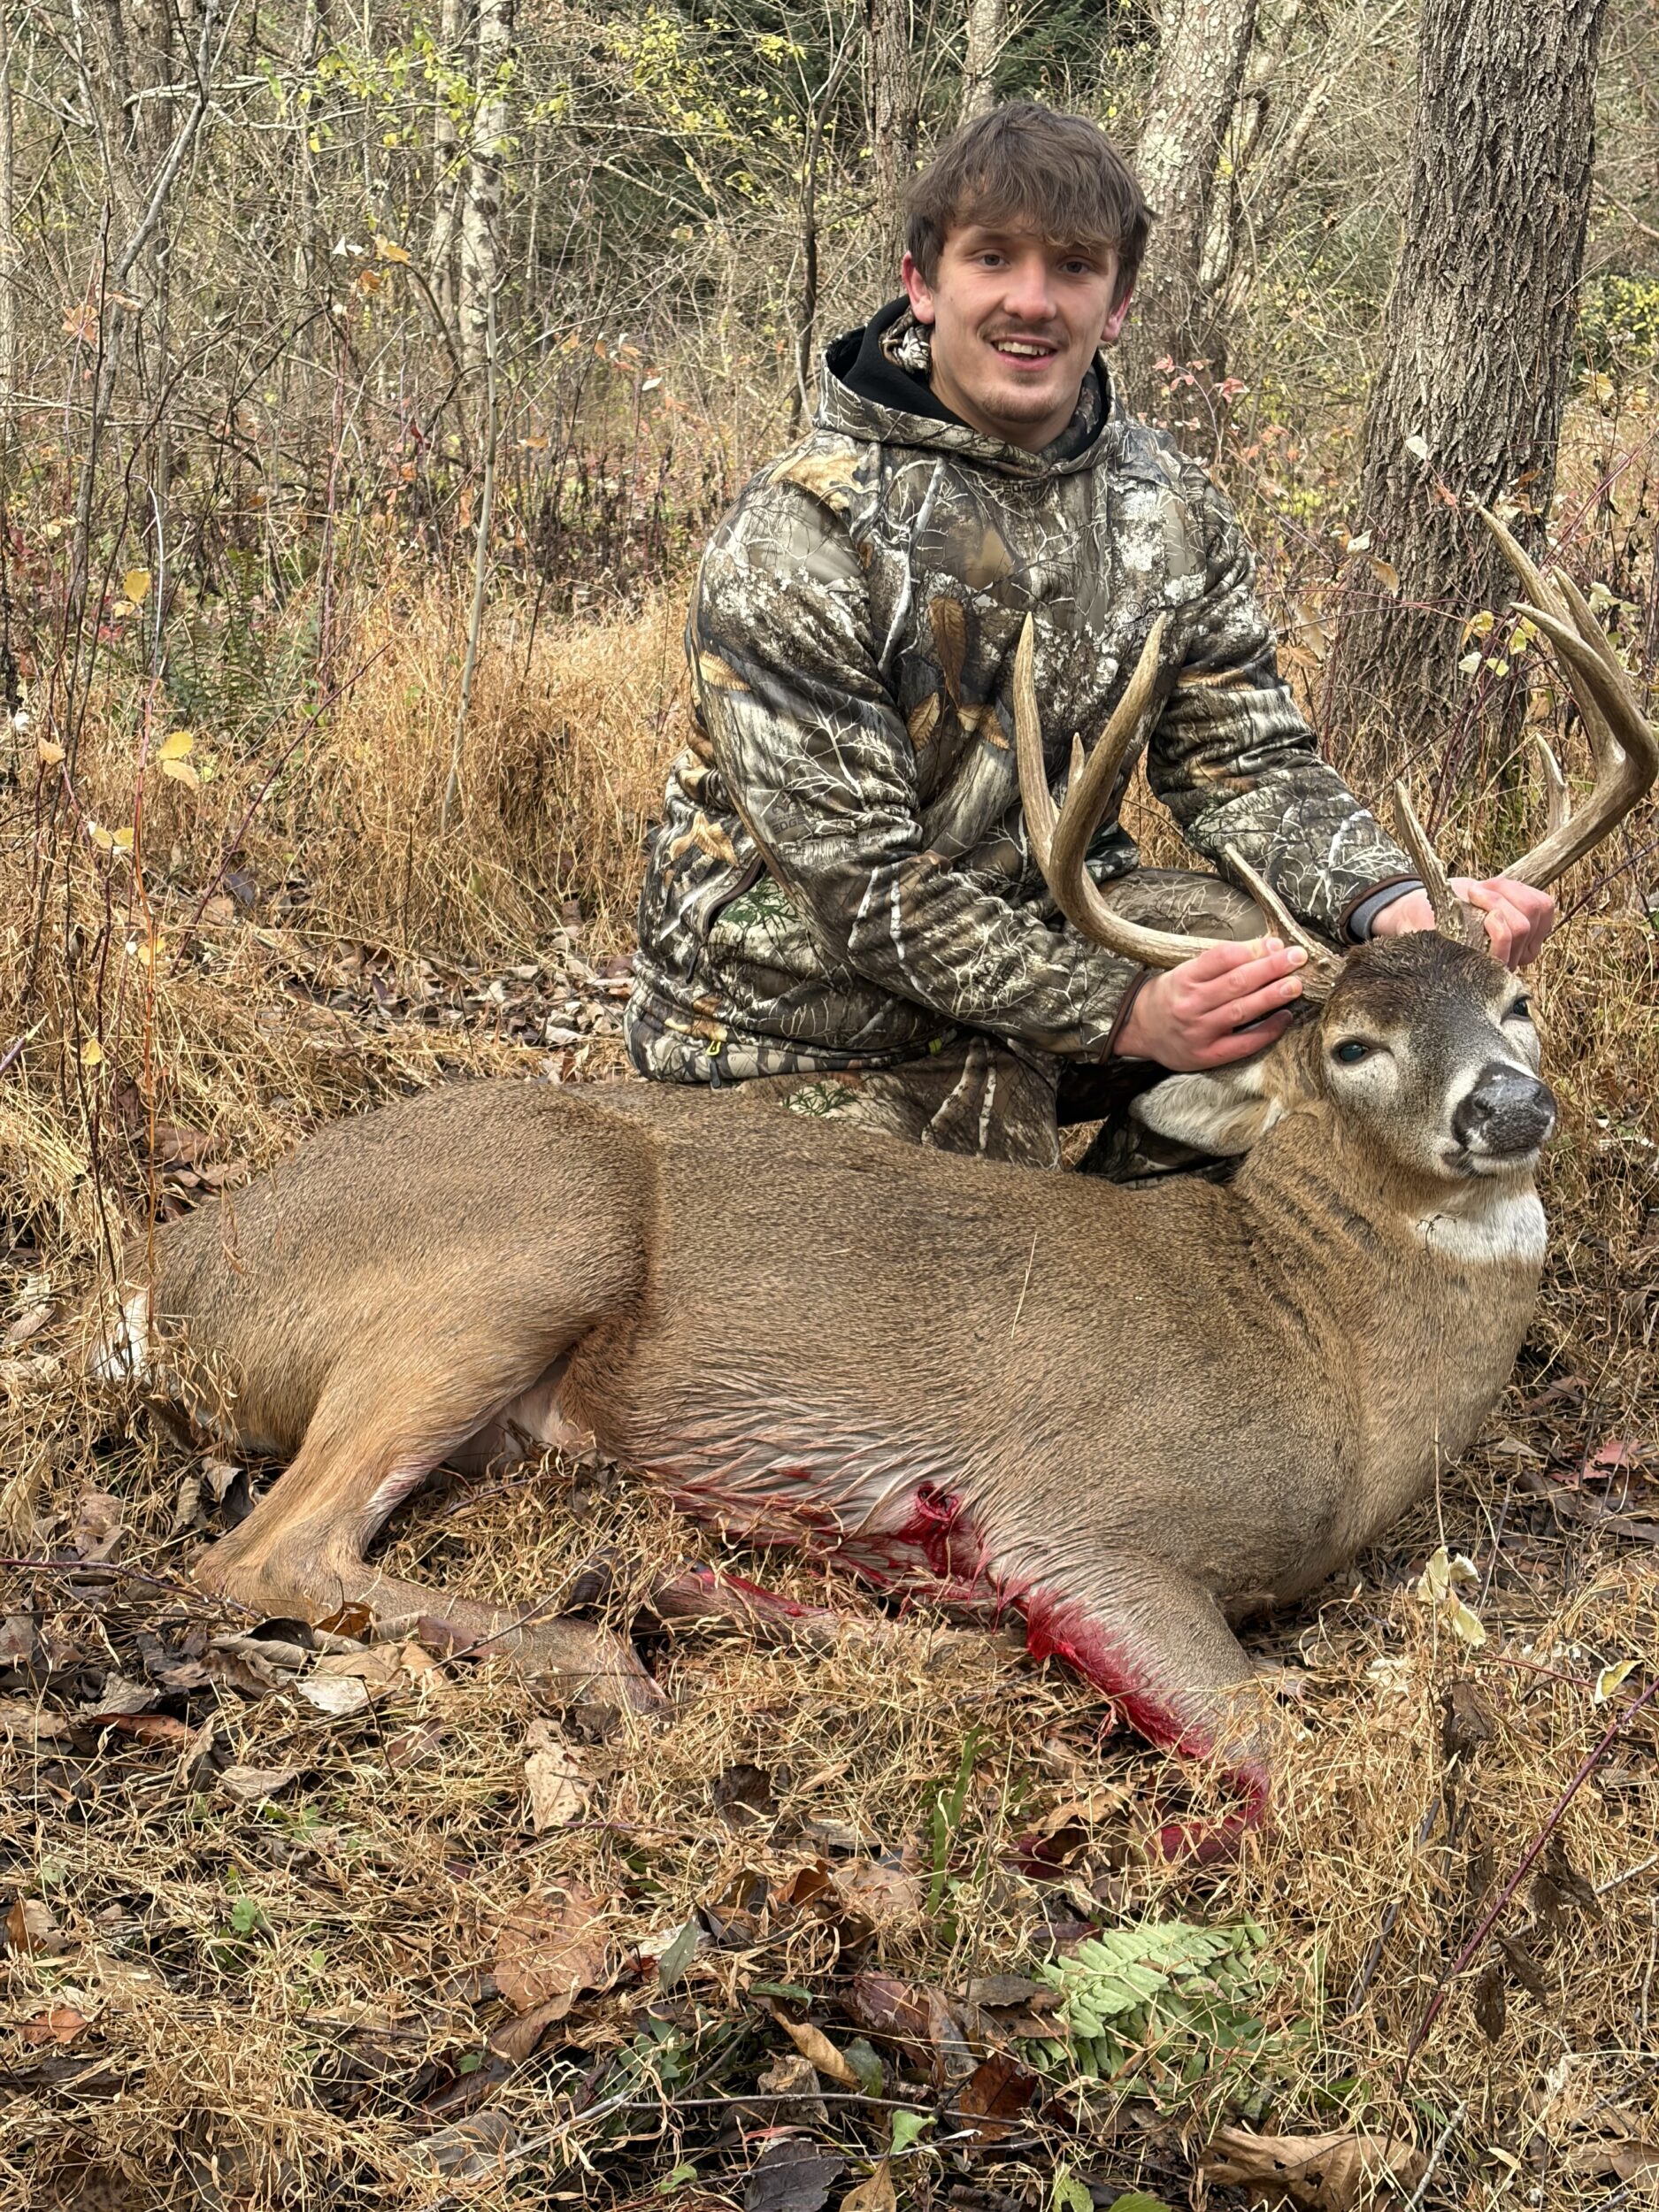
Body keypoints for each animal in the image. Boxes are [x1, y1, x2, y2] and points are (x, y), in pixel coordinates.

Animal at [90, 516, 1656, 1858]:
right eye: (1349, 1047)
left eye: (1513, 1001)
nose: (1507, 1106)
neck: (1322, 1342)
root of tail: (170, 1286)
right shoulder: (1085, 1514)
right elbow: (1293, 1756)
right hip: (523, 1242)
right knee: (267, 1556)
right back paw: (617, 1655)